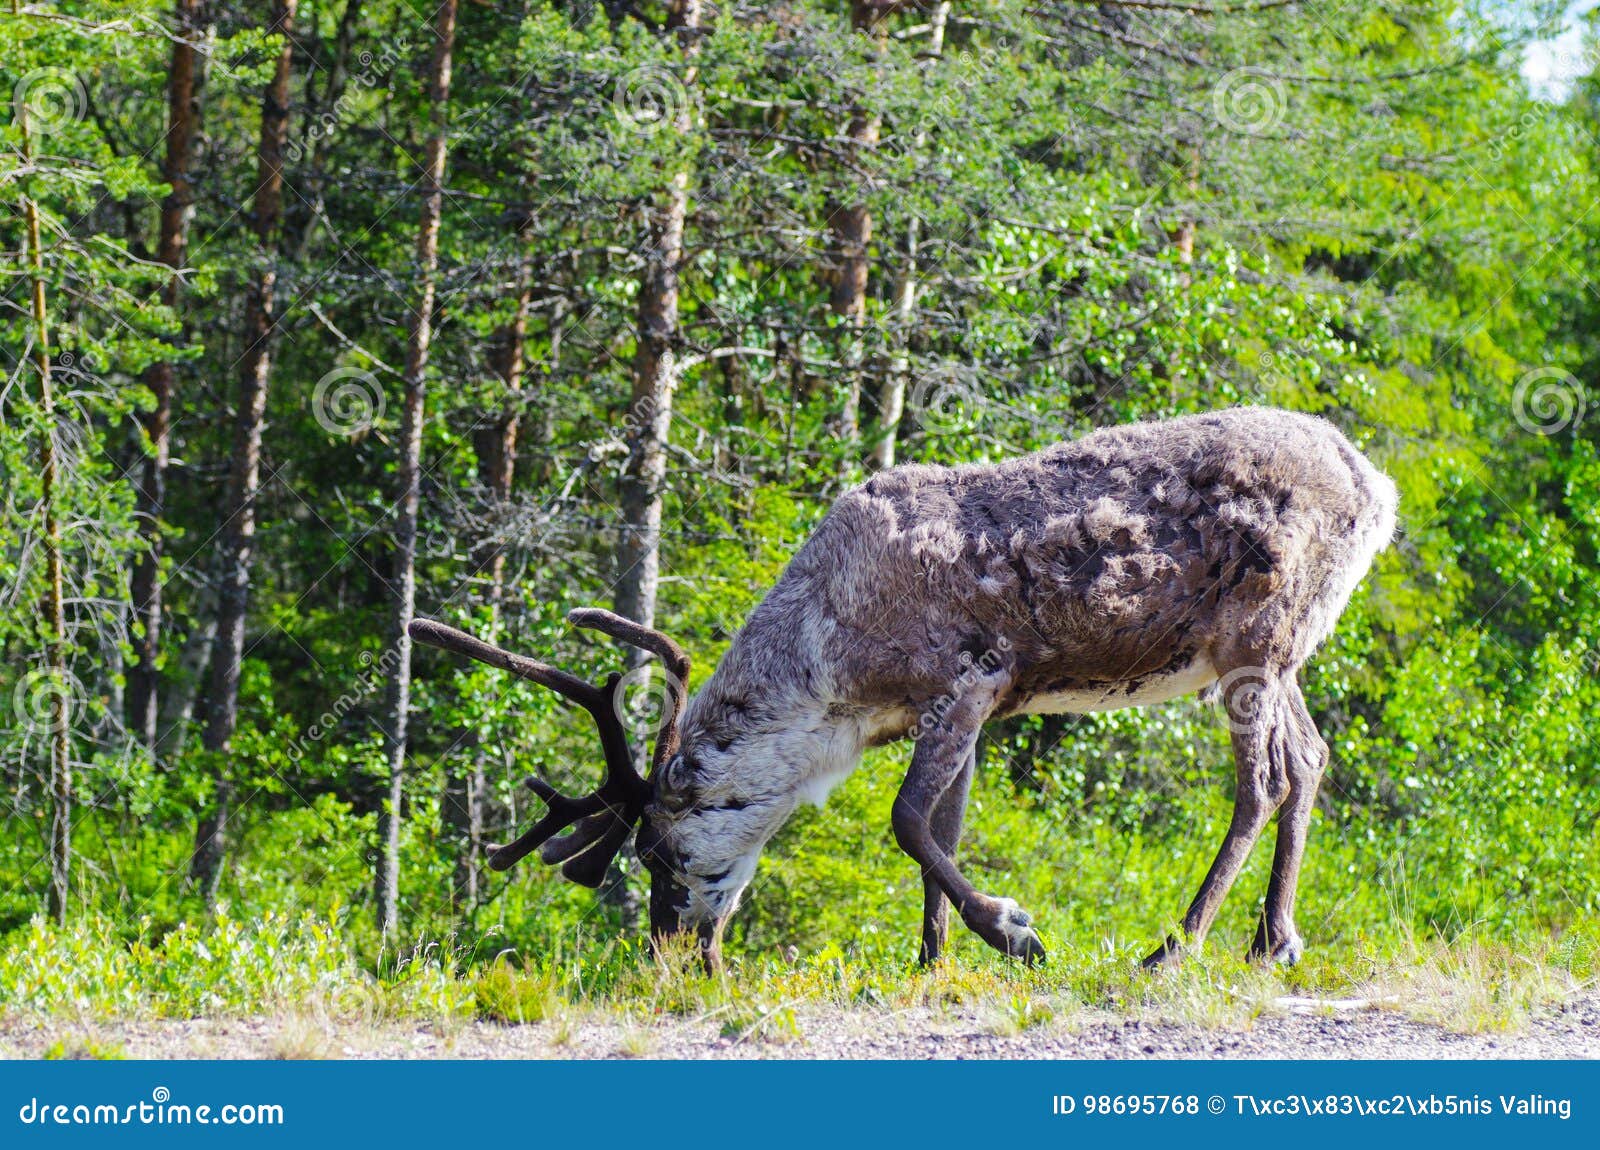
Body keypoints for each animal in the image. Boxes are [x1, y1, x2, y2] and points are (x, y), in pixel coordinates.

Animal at [411, 406, 1397, 971]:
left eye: (656, 852)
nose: (674, 952)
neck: (828, 664)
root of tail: (1375, 484)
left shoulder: (969, 677)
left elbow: (906, 822)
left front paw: (1013, 930)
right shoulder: (975, 711)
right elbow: (944, 830)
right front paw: (932, 962)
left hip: (1253, 639)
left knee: (1262, 781)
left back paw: (1175, 947)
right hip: (1281, 651)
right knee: (1311, 760)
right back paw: (1273, 941)